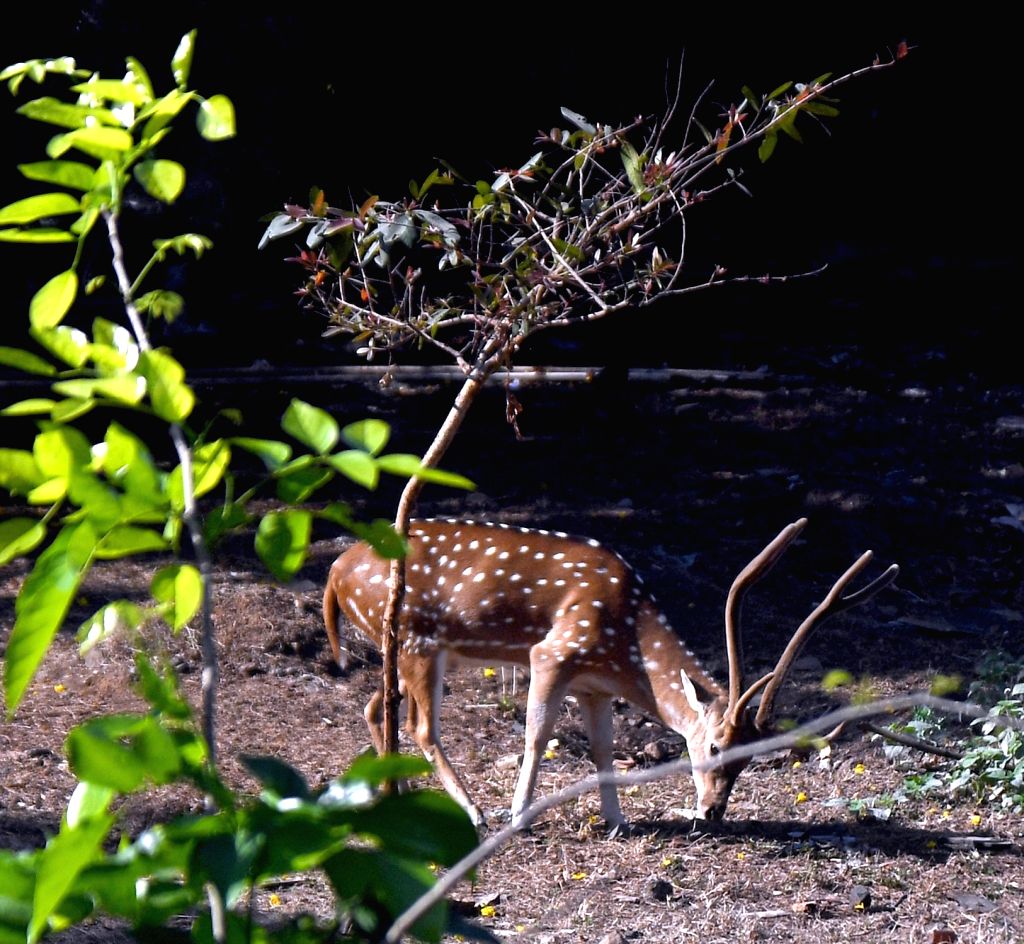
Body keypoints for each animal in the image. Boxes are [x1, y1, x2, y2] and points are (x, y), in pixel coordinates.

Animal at [322, 517, 898, 828]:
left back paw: (394, 797)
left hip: (399, 651)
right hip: (418, 643)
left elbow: (603, 747)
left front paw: (617, 821)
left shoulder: (593, 685)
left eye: (748, 762)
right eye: (715, 746)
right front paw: (520, 815)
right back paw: (476, 813)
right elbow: (537, 735)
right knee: (421, 726)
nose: (712, 811)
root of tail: (334, 572)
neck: (627, 643)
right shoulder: (554, 652)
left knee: (375, 707)